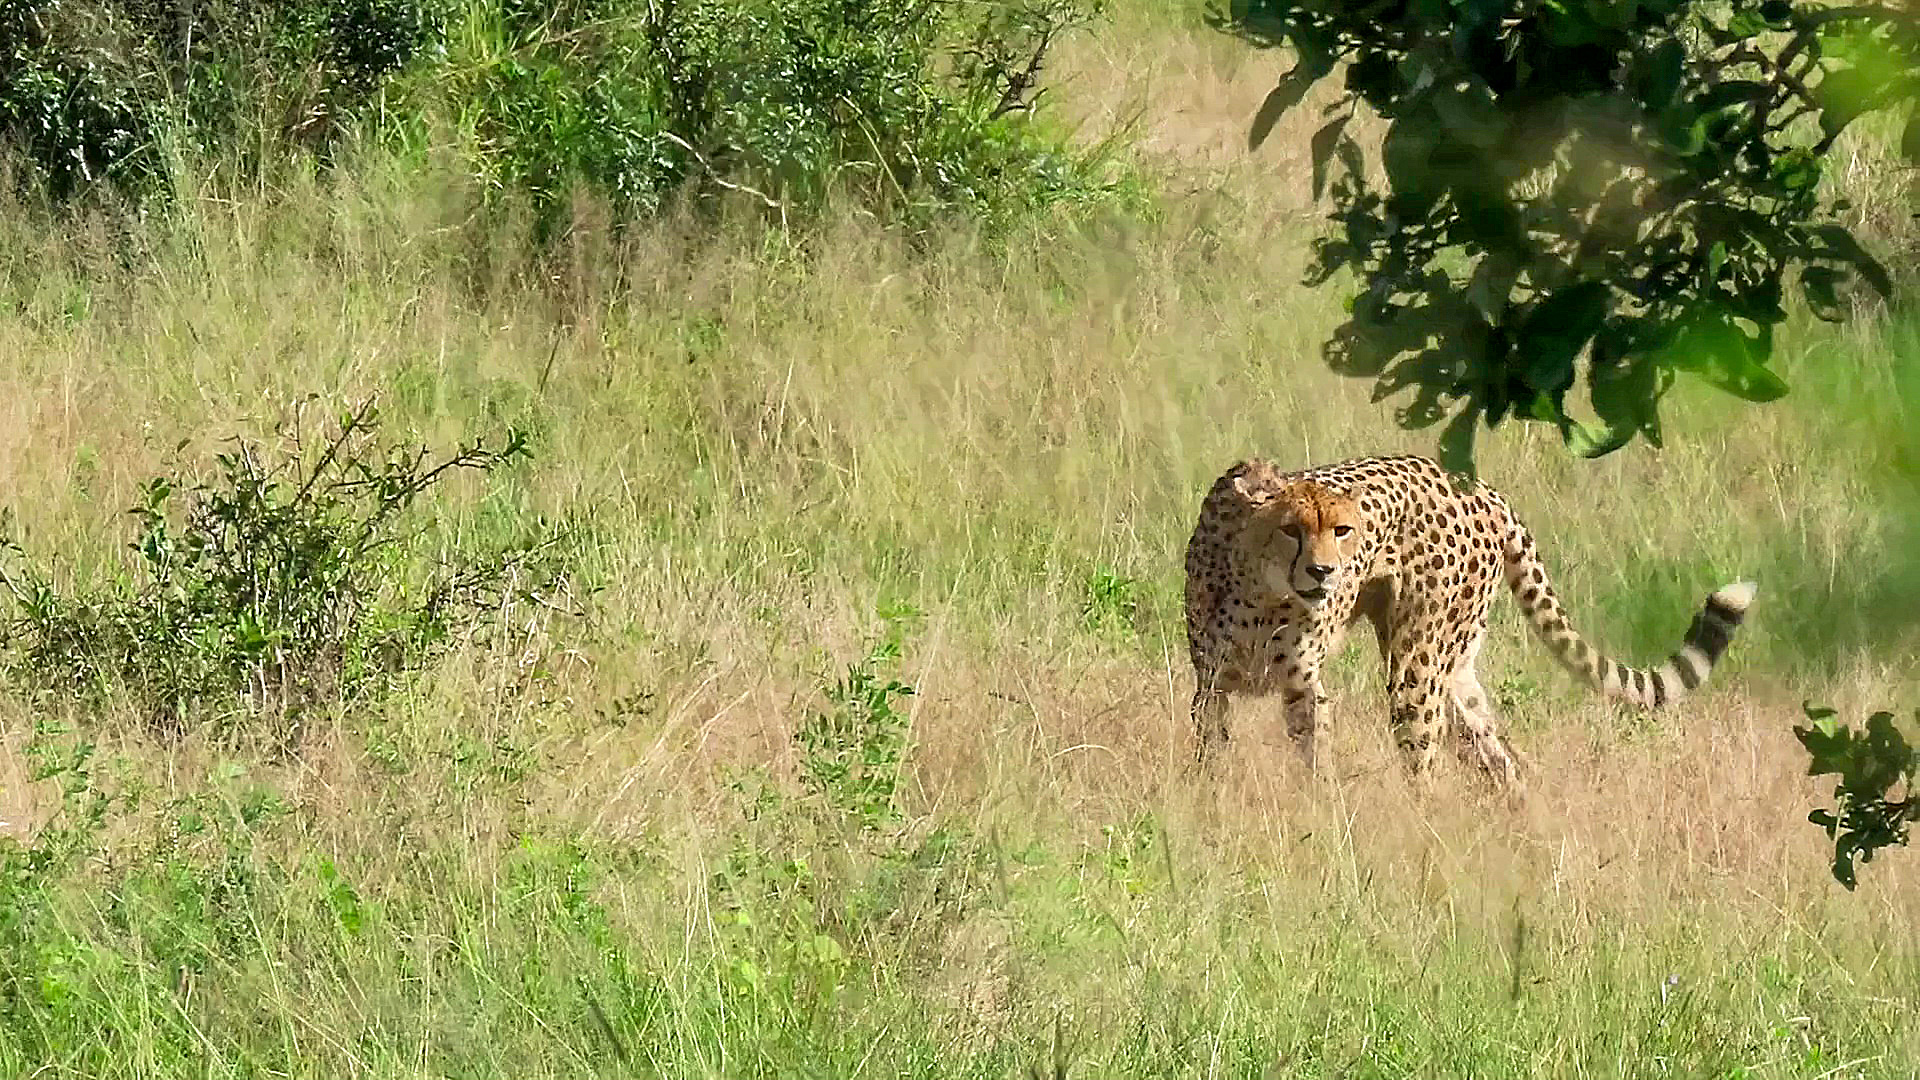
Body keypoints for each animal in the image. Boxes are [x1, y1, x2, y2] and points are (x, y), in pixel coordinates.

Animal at [1183, 454, 1756, 787]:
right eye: (1291, 529)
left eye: (1343, 530)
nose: (1325, 571)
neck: (1261, 589)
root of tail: (1481, 488)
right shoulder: (1210, 684)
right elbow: (1211, 757)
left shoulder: (1306, 687)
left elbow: (1315, 761)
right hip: (1452, 671)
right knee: (1501, 758)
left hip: (1417, 667)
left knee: (1425, 759)